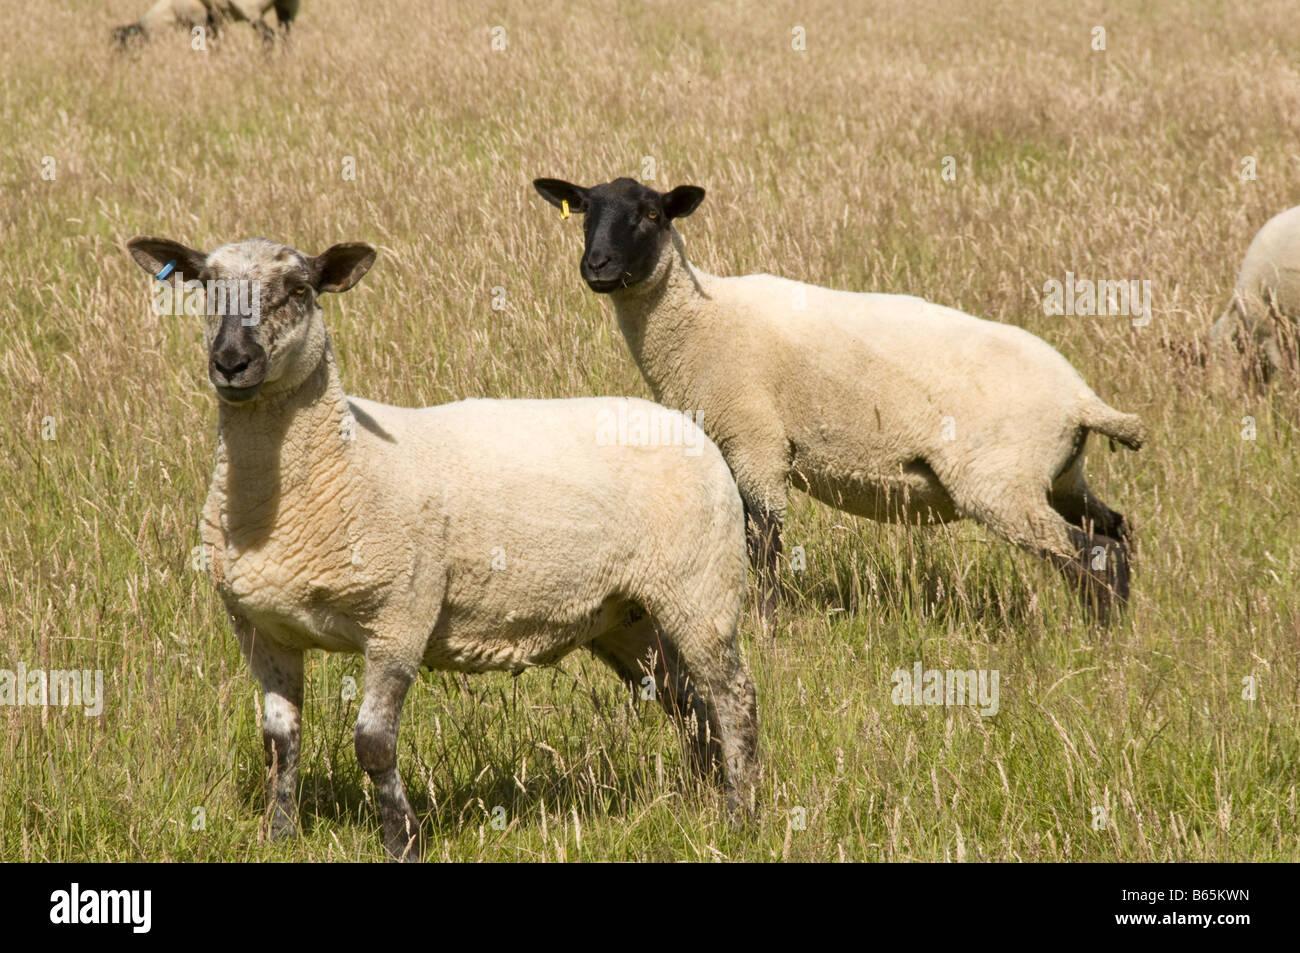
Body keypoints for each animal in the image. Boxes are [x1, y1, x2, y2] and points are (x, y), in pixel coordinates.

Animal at [112, 0, 297, 49]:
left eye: (123, 48)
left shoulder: (202, 21)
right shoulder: (216, 21)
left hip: (248, 7)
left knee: (269, 35)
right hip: (286, 6)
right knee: (286, 37)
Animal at [125, 234, 758, 860]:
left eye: (299, 290)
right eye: (206, 286)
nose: (232, 363)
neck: (336, 464)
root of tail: (685, 423)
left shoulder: (400, 617)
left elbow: (373, 743)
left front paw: (402, 840)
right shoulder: (261, 630)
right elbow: (280, 742)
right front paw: (277, 837)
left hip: (700, 588)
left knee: (734, 697)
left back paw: (739, 815)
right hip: (627, 615)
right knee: (688, 702)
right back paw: (703, 795)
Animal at [533, 176, 1146, 628]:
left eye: (653, 215)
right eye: (584, 213)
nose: (597, 267)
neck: (702, 321)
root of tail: (1080, 398)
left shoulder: (757, 443)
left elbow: (765, 543)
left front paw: (765, 625)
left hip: (1001, 481)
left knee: (1084, 554)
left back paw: (1096, 639)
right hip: (1061, 474)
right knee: (1114, 536)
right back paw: (1117, 635)